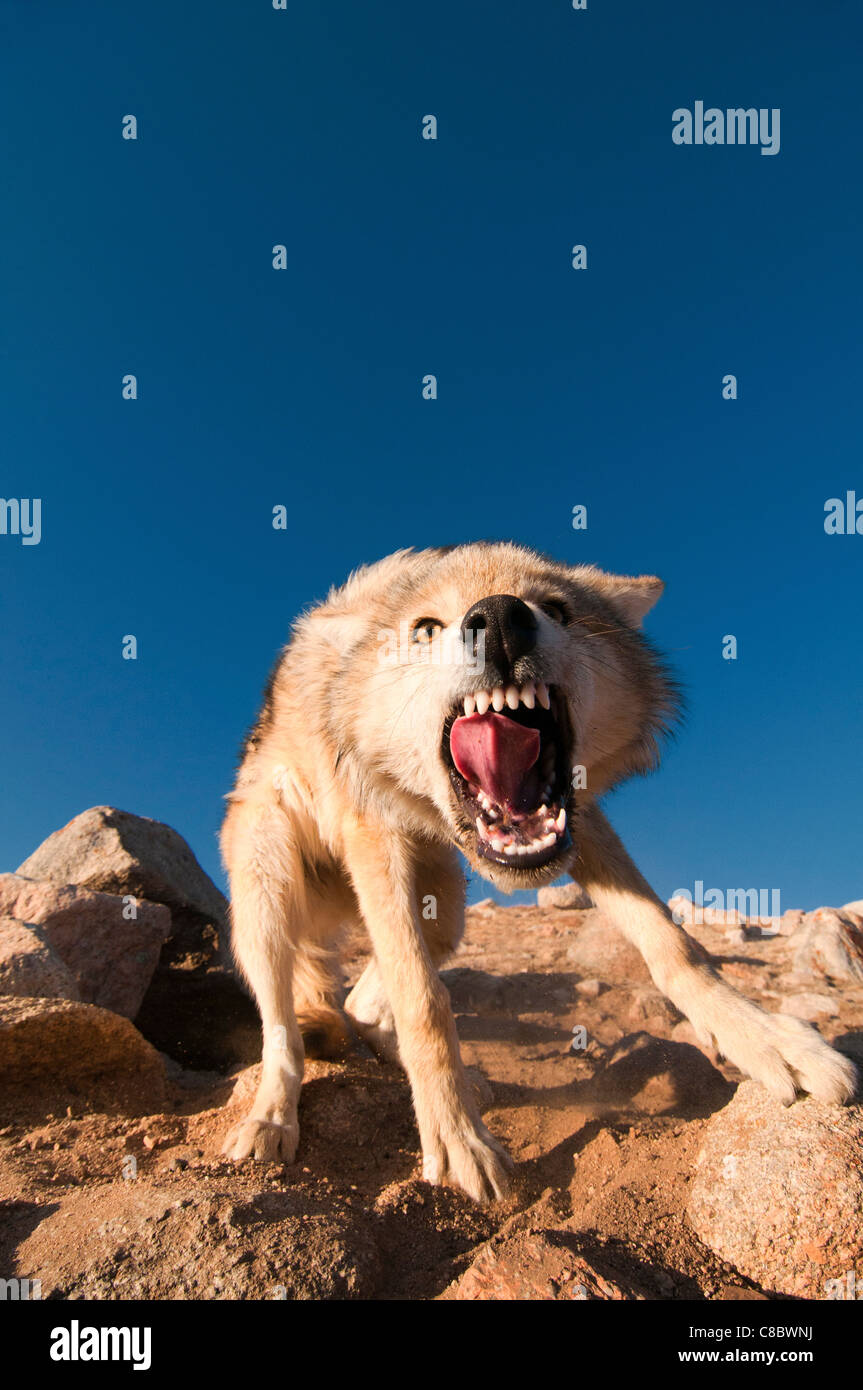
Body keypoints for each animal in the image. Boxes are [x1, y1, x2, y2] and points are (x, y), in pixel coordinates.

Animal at [221, 543, 855, 1201]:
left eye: (557, 609)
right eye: (424, 629)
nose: (500, 618)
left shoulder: (579, 817)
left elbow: (672, 945)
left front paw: (768, 1042)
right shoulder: (373, 830)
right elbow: (422, 997)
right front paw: (457, 1137)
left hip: (444, 908)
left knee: (364, 1001)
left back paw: (432, 1066)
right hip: (269, 900)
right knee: (284, 1030)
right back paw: (271, 1119)